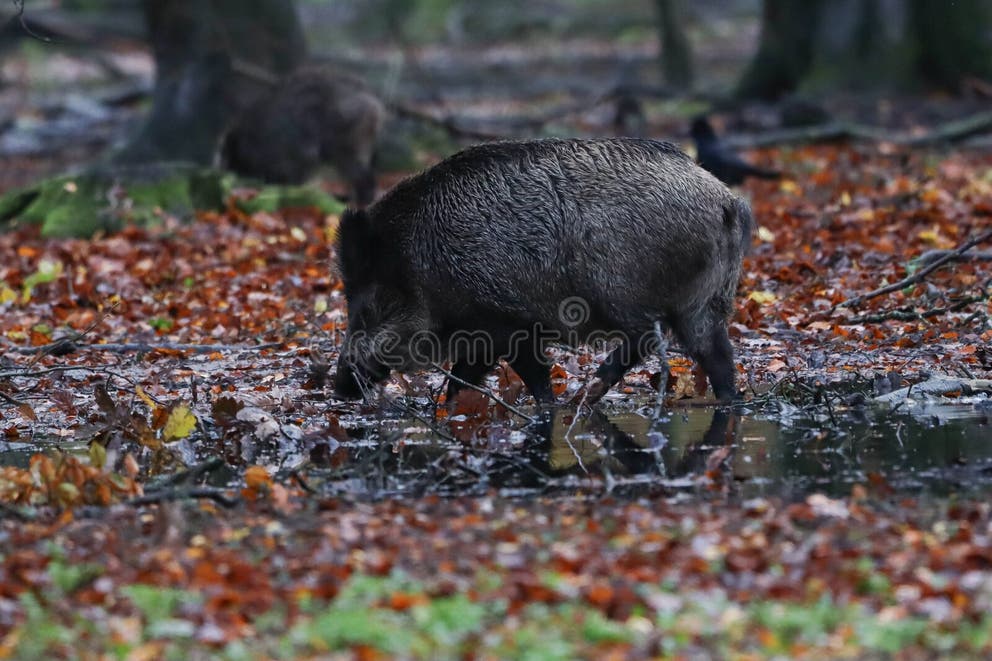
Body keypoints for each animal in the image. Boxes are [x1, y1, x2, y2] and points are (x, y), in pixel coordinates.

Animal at [333, 137, 752, 405]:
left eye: (365, 308)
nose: (339, 387)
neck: (420, 266)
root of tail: (728, 201)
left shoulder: (508, 322)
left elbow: (528, 374)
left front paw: (546, 408)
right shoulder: (485, 332)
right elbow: (466, 377)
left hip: (622, 290)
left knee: (647, 339)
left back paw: (586, 396)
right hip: (703, 298)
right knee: (715, 353)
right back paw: (728, 401)